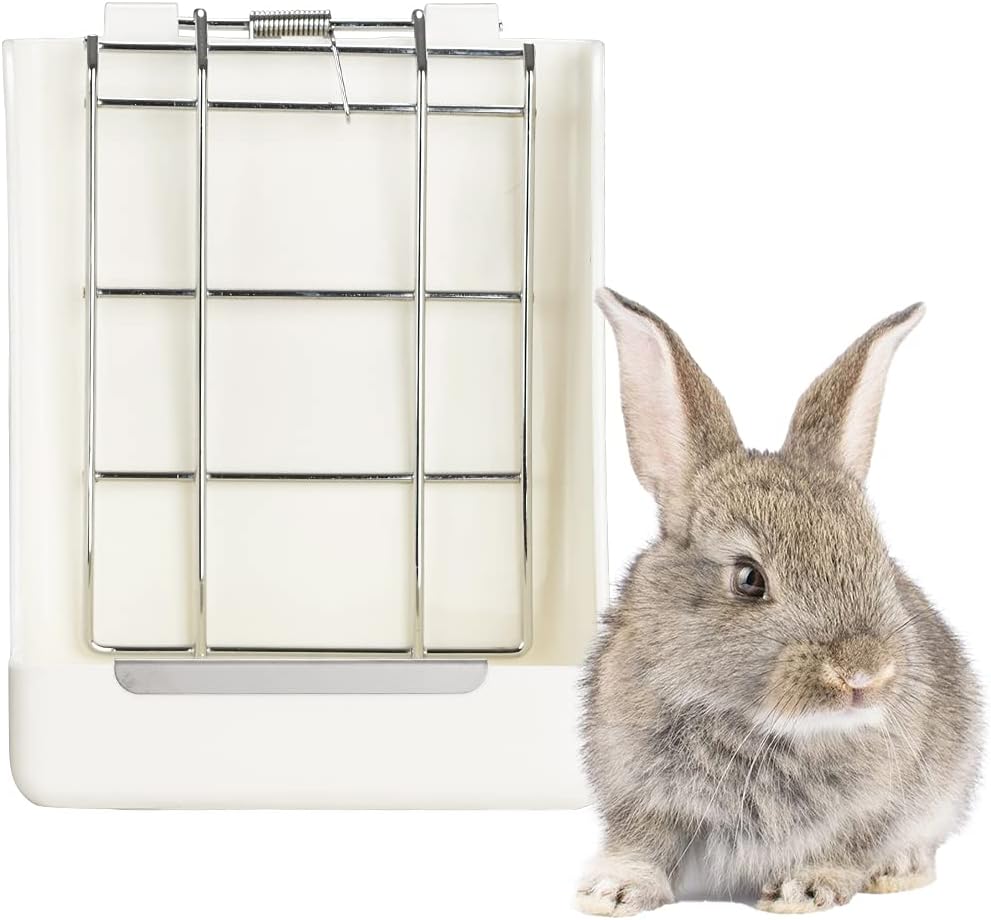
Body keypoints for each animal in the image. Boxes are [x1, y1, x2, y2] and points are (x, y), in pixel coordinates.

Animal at [577, 288, 983, 916]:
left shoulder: (877, 804)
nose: (864, 672)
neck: (768, 727)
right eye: (749, 579)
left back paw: (900, 869)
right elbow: (642, 839)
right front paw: (613, 891)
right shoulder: (636, 790)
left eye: (878, 557)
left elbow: (848, 843)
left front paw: (806, 887)